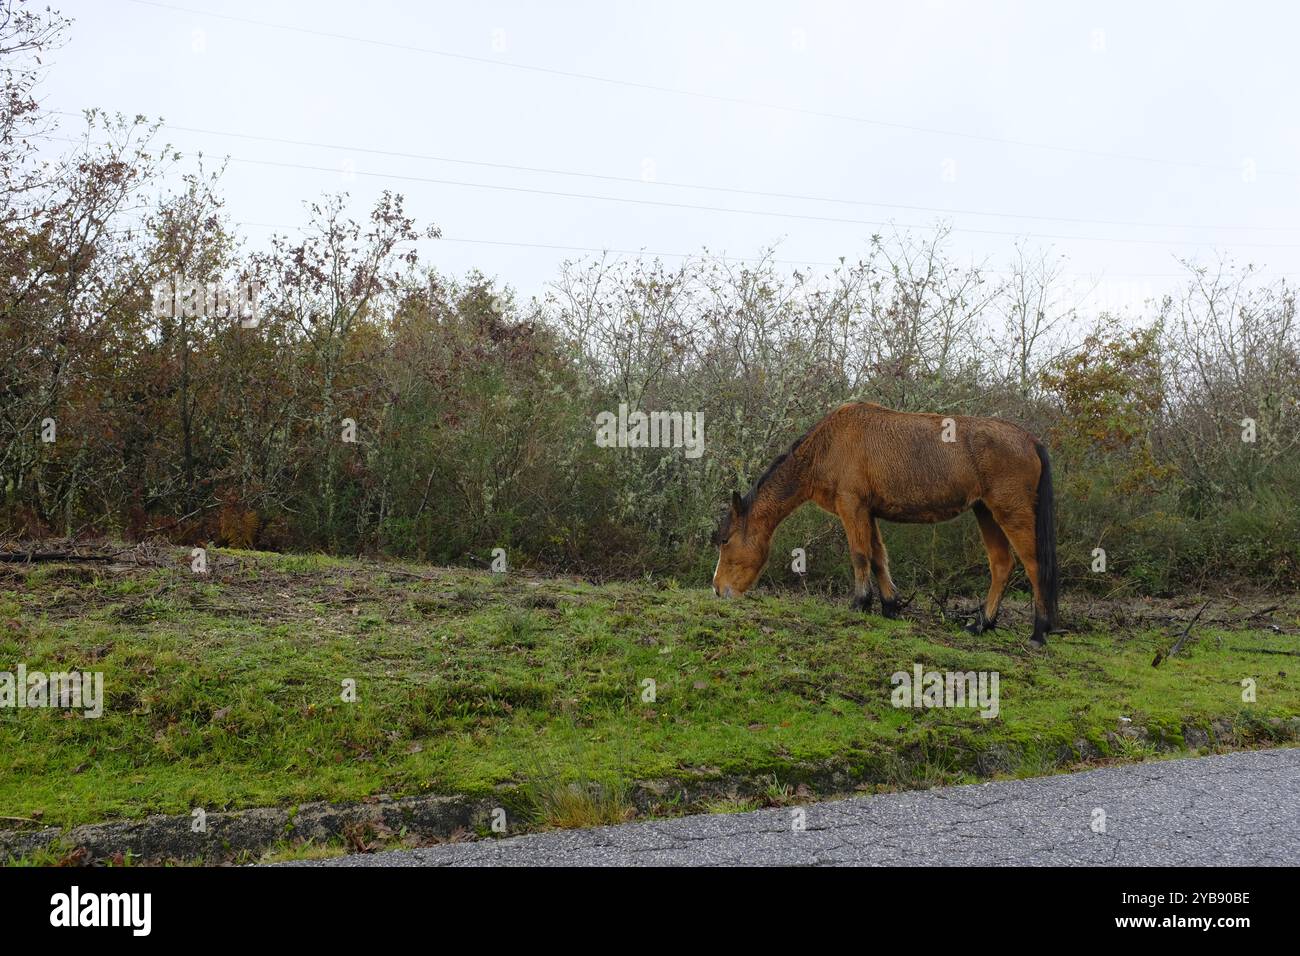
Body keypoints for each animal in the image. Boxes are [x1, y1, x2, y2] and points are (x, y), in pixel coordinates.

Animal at [711, 402, 1059, 646]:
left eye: (725, 541)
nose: (717, 588)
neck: (828, 444)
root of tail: (1029, 439)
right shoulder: (868, 512)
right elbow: (878, 557)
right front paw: (890, 606)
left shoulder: (852, 507)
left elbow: (859, 555)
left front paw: (859, 603)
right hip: (986, 512)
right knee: (1001, 564)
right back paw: (981, 624)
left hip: (1010, 511)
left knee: (1033, 565)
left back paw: (1038, 632)